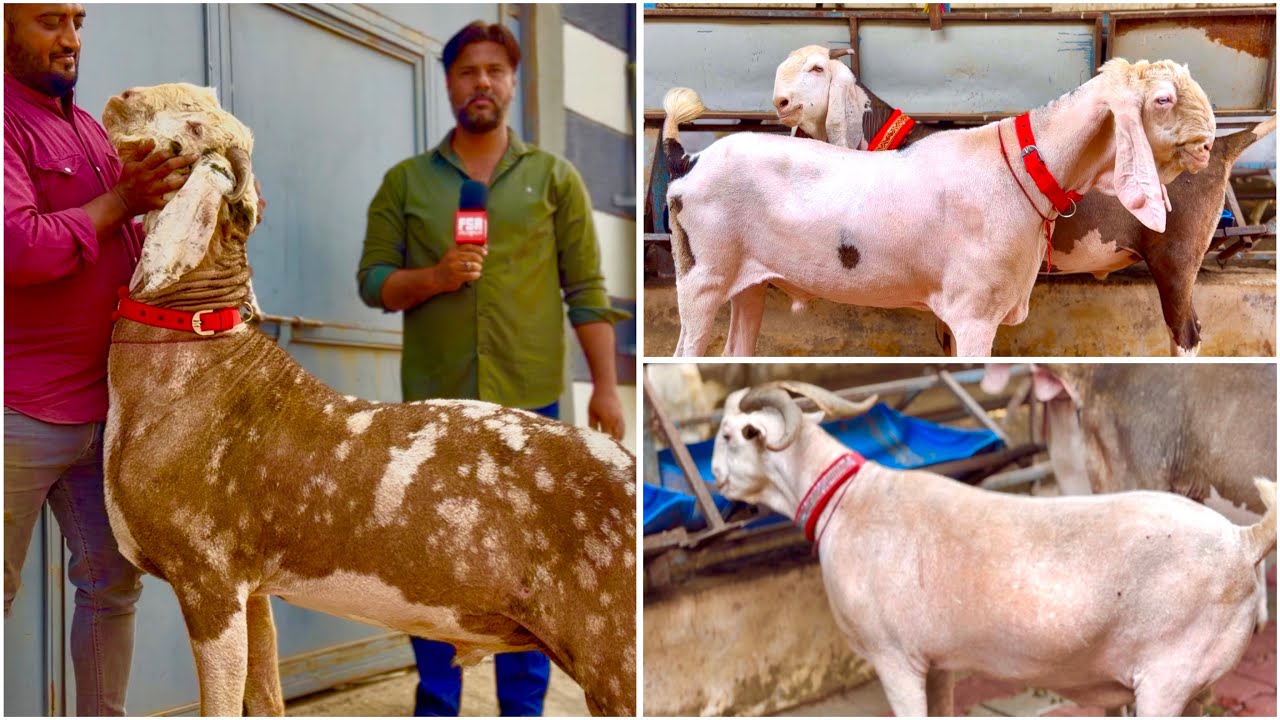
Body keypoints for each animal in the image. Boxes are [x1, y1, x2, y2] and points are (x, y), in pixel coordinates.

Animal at [100, 83, 636, 716]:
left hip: (612, 642)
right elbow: (267, 697)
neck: (198, 343)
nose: (120, 96)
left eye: (191, 127)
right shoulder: (250, 586)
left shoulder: (208, 576)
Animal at [663, 58, 1216, 357]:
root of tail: (687, 159)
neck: (1020, 169)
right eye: (1163, 99)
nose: (1209, 141)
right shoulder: (974, 311)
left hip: (747, 280)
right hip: (702, 273)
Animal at [711, 380, 1277, 716]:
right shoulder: (934, 662)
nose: (714, 477)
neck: (848, 498)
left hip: (1168, 677)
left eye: (730, 435)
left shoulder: (894, 658)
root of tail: (1242, 540)